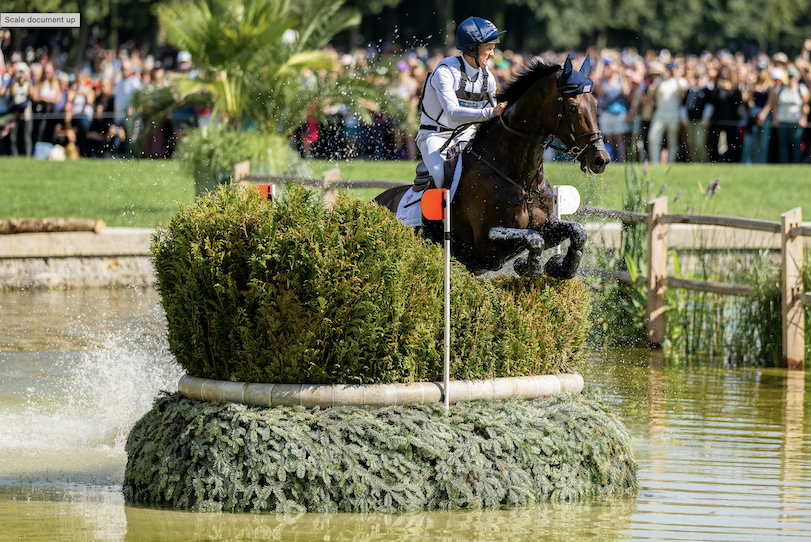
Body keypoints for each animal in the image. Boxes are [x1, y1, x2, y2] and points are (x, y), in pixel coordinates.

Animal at [374, 55, 610, 279]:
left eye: (596, 105)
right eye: (572, 107)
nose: (601, 159)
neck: (523, 182)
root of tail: (377, 200)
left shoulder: (546, 226)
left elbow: (578, 232)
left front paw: (560, 267)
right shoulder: (485, 247)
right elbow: (533, 240)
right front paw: (527, 267)